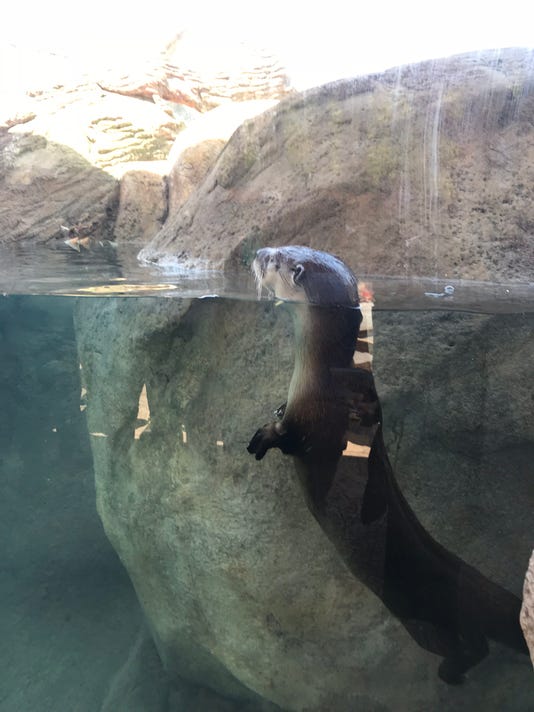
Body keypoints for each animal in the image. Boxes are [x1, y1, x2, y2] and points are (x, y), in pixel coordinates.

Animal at [247, 245, 527, 683]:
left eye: (275, 258)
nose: (256, 252)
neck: (326, 375)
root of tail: (458, 577)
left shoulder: (311, 417)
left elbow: (286, 436)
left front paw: (261, 437)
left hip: (417, 612)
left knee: (464, 645)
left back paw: (451, 672)